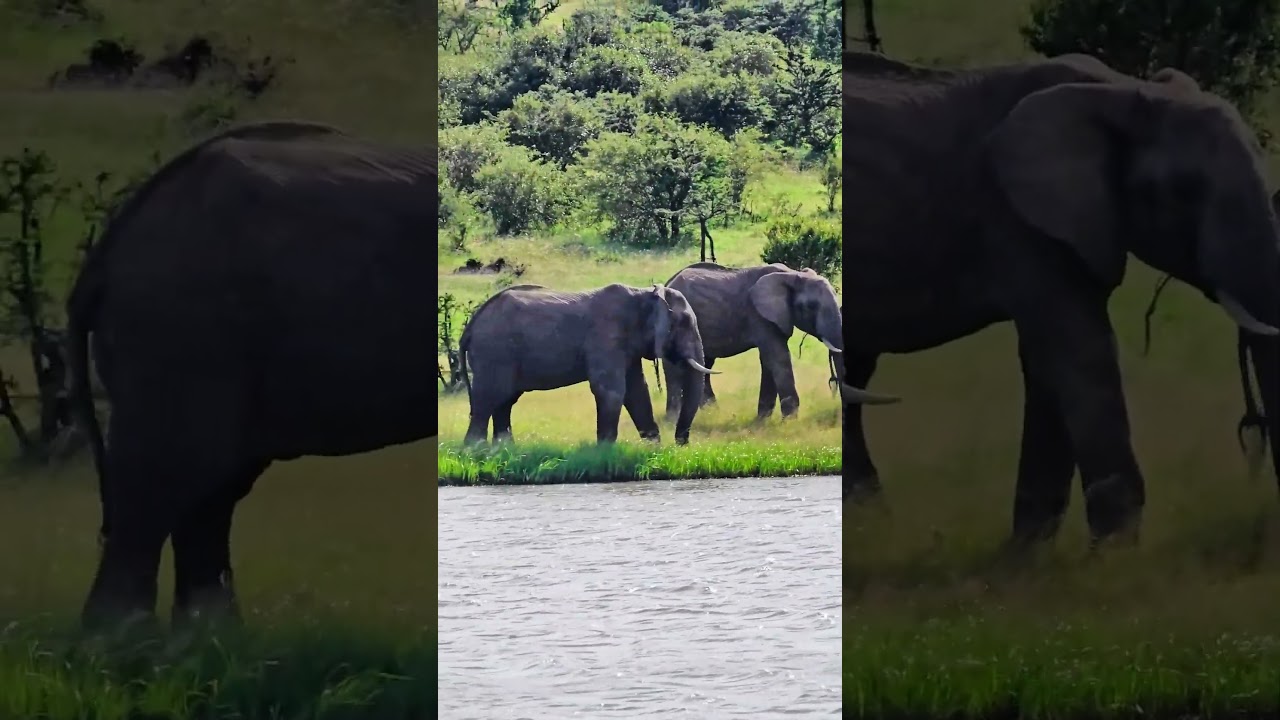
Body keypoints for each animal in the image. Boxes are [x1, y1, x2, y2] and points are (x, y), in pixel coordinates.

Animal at [63, 121, 437, 628]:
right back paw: (119, 645)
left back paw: (207, 641)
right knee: (156, 487)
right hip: (184, 331)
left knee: (206, 497)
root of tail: (106, 253)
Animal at [460, 283, 716, 445]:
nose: (681, 443)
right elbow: (612, 391)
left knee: (504, 402)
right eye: (684, 323)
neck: (644, 293)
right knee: (488, 399)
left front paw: (654, 449)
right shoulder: (605, 337)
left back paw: (503, 450)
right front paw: (604, 452)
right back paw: (476, 451)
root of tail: (471, 326)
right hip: (494, 352)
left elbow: (637, 392)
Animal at [661, 262, 900, 422]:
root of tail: (667, 281)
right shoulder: (760, 315)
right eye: (811, 307)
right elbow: (777, 357)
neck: (794, 275)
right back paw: (676, 419)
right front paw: (789, 421)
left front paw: (763, 421)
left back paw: (712, 413)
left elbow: (769, 361)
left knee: (706, 364)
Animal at [838, 50, 1280, 548]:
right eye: (1182, 192)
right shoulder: (1020, 220)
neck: (1125, 90)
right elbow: (1081, 353)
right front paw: (1113, 559)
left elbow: (1048, 367)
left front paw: (1025, 560)